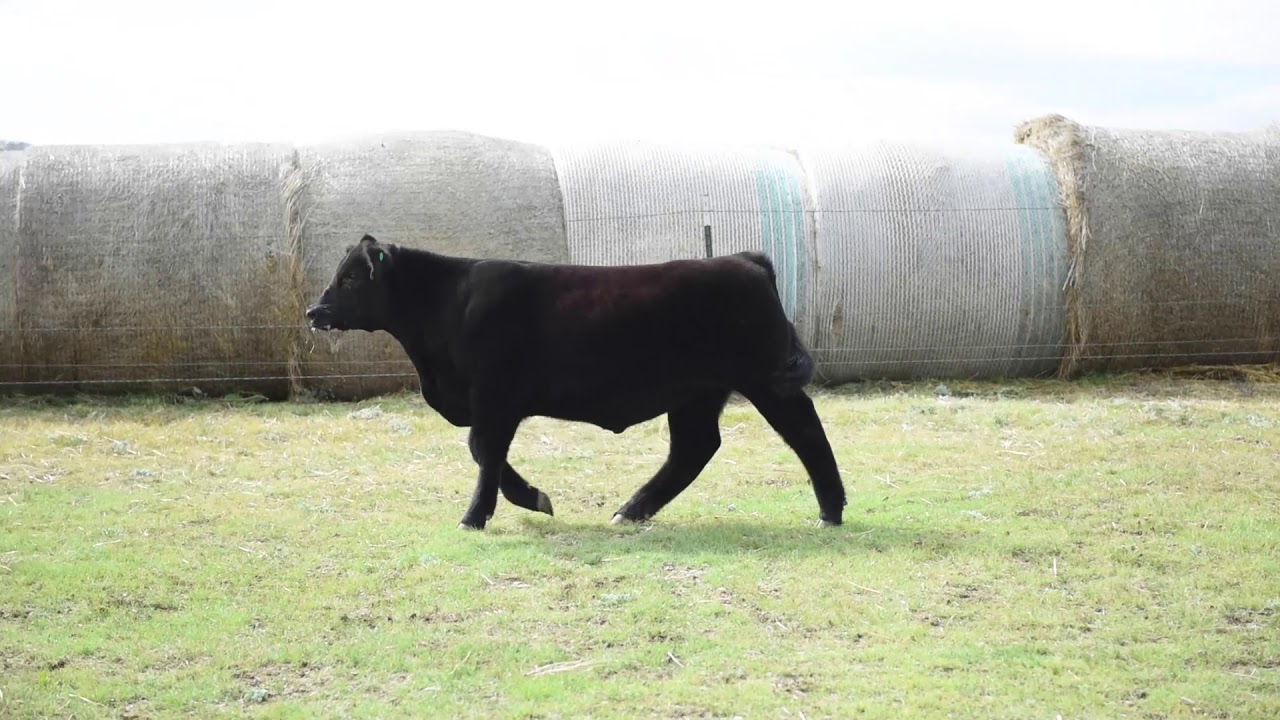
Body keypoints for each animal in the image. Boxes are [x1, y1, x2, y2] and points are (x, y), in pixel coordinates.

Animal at [306, 234, 846, 531]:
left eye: (350, 278)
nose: (313, 310)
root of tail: (741, 258)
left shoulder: (495, 396)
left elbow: (484, 451)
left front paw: (479, 515)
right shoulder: (488, 403)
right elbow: (485, 454)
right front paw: (529, 498)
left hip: (763, 377)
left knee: (804, 431)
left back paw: (831, 510)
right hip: (696, 393)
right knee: (695, 448)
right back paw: (632, 510)